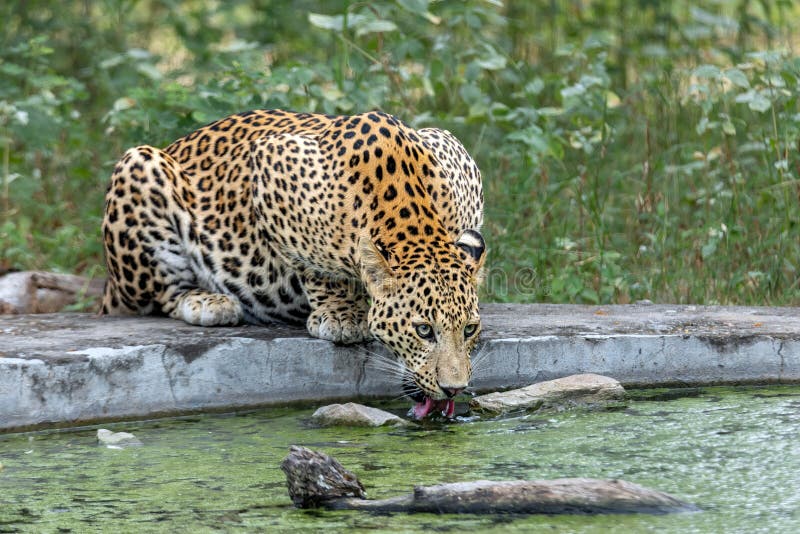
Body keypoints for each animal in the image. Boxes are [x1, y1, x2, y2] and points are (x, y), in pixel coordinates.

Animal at [100, 109, 485, 418]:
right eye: (423, 330)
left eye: (469, 330)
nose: (454, 389)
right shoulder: (270, 163)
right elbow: (312, 265)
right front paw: (341, 314)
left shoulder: (457, 154)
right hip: (139, 168)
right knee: (163, 294)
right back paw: (208, 302)